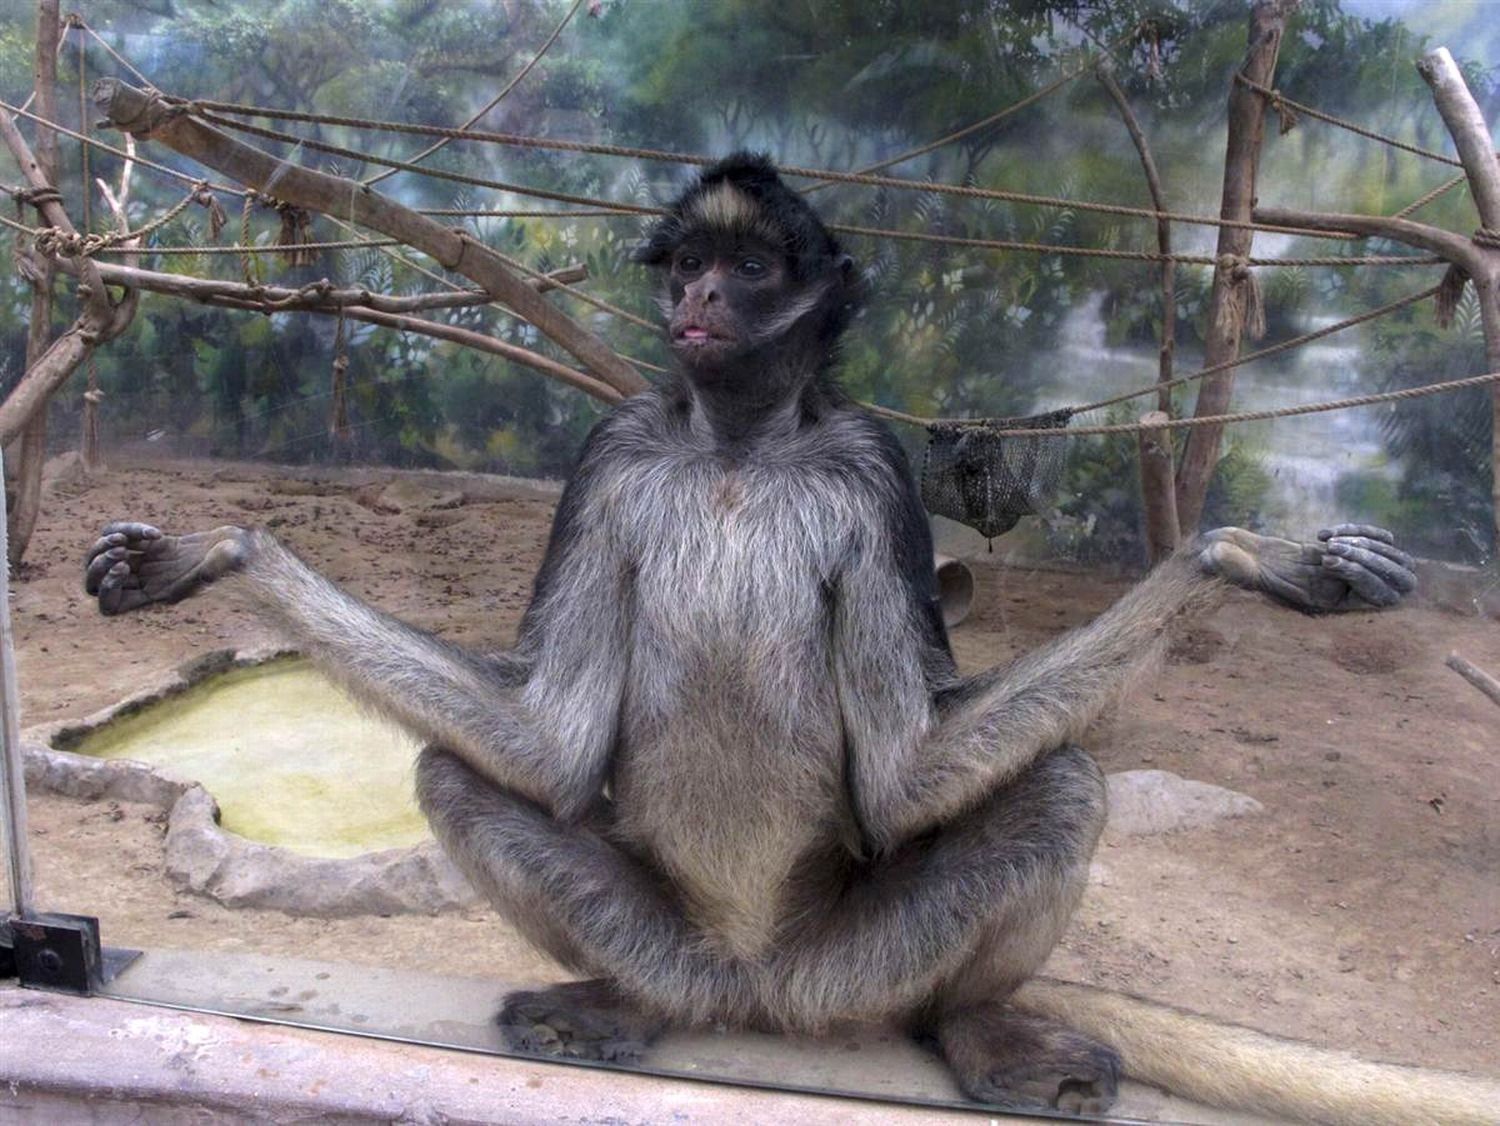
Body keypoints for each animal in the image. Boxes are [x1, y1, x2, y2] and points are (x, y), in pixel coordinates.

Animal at [82, 154, 1497, 1124]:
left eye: (754, 266)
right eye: (689, 267)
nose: (704, 293)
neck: (737, 446)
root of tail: (755, 978)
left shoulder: (870, 464)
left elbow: (907, 776)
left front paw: (1238, 557)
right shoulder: (613, 451)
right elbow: (545, 746)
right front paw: (223, 554)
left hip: (862, 965)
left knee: (1062, 785)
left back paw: (973, 1021)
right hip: (668, 937)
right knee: (453, 771)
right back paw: (630, 1003)